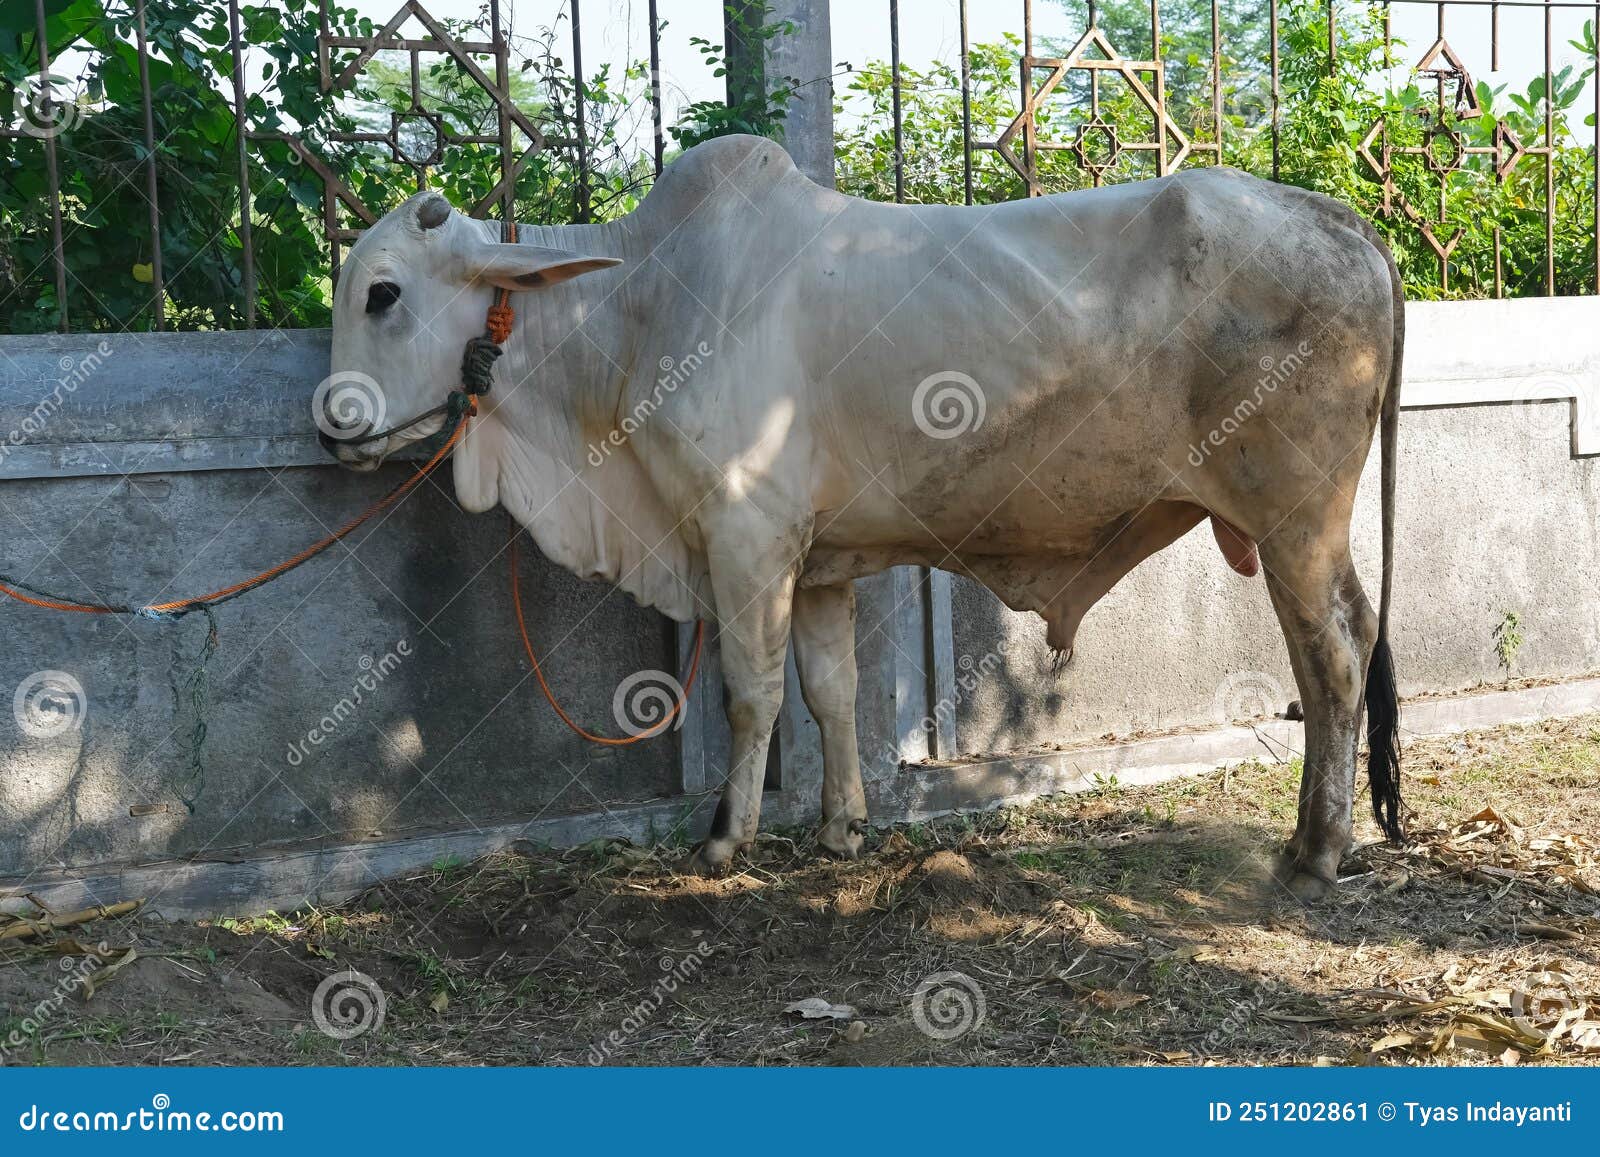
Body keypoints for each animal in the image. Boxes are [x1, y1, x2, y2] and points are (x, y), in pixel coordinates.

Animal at [323, 134, 1402, 900]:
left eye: (383, 293)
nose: (332, 424)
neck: (635, 310)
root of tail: (1343, 221)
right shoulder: (820, 563)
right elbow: (830, 690)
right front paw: (842, 826)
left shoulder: (746, 537)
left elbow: (752, 694)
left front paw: (726, 838)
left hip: (1296, 519)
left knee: (1334, 651)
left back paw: (1316, 850)